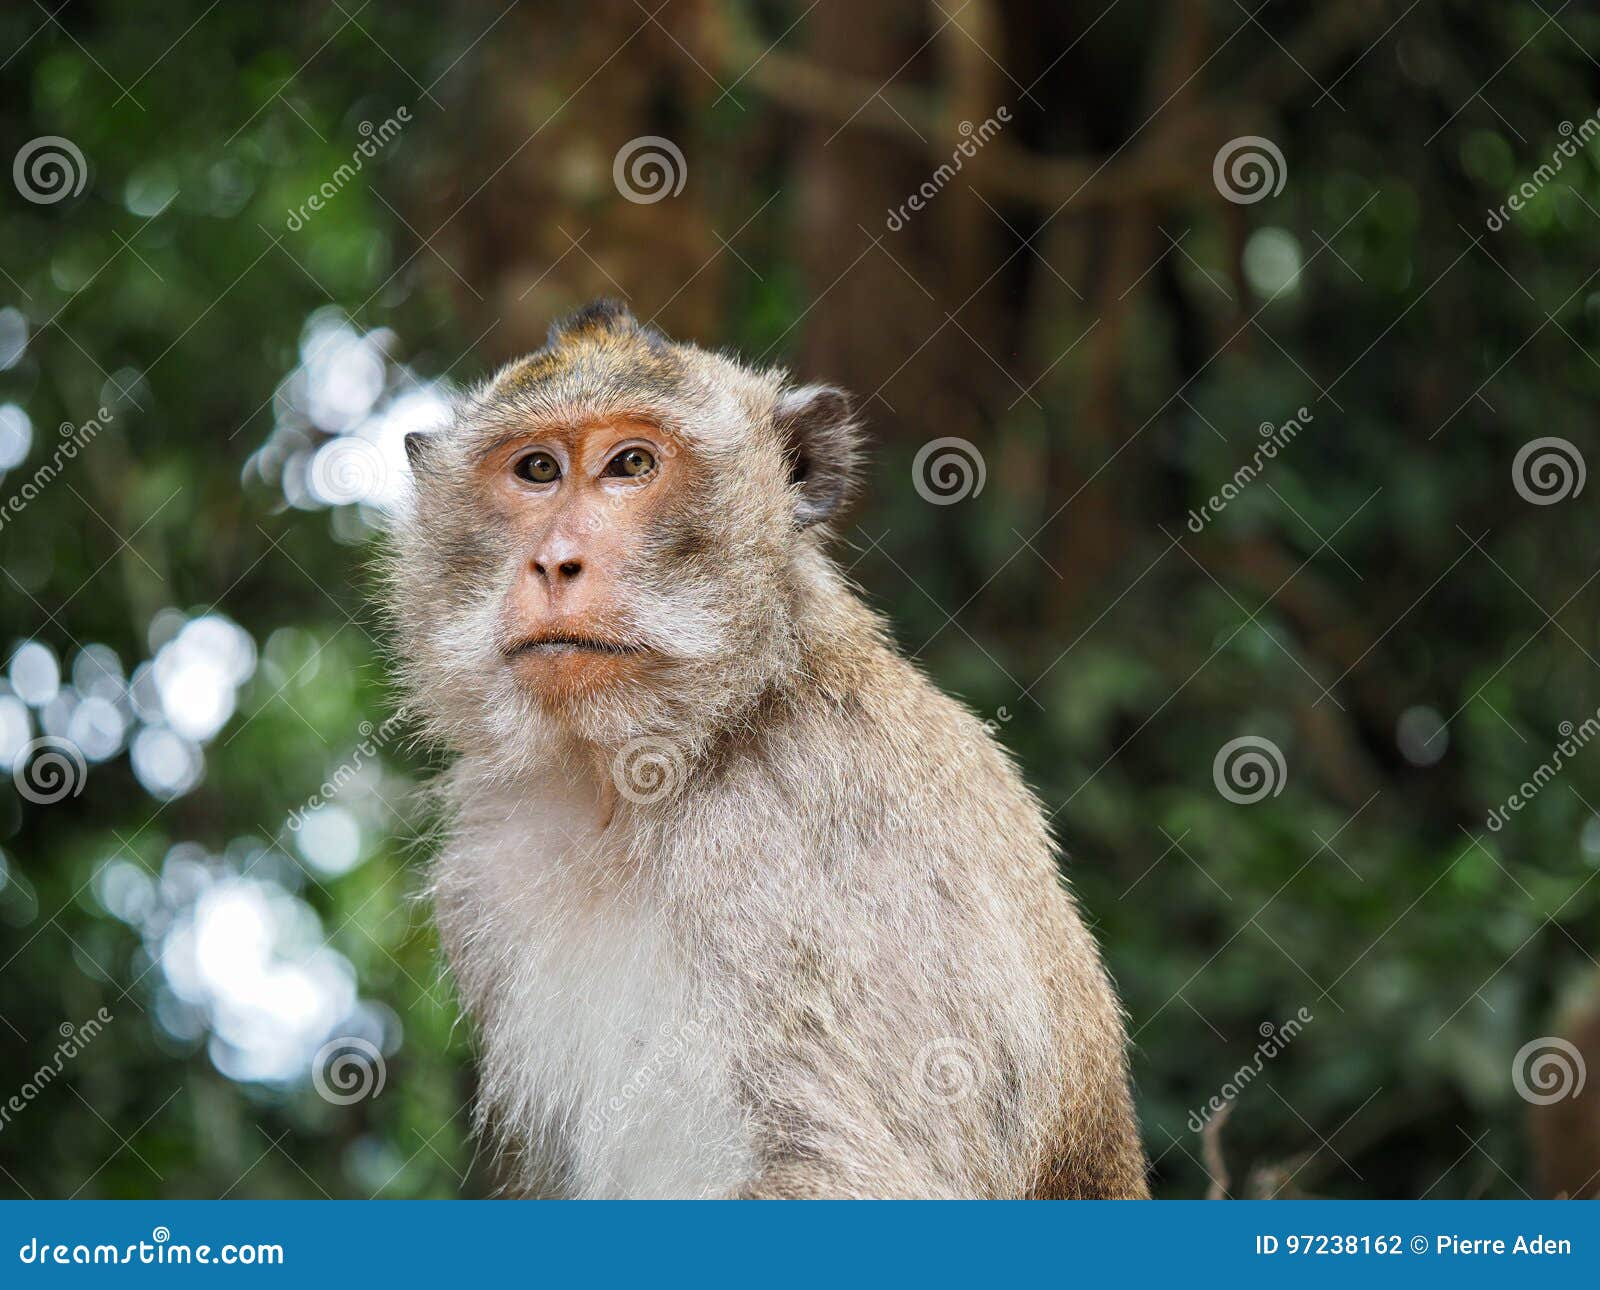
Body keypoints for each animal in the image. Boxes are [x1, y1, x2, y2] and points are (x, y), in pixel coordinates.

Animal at [385, 300, 1148, 1199]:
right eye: (536, 469)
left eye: (631, 464)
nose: (553, 561)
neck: (652, 774)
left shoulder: (818, 836)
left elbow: (847, 1163)